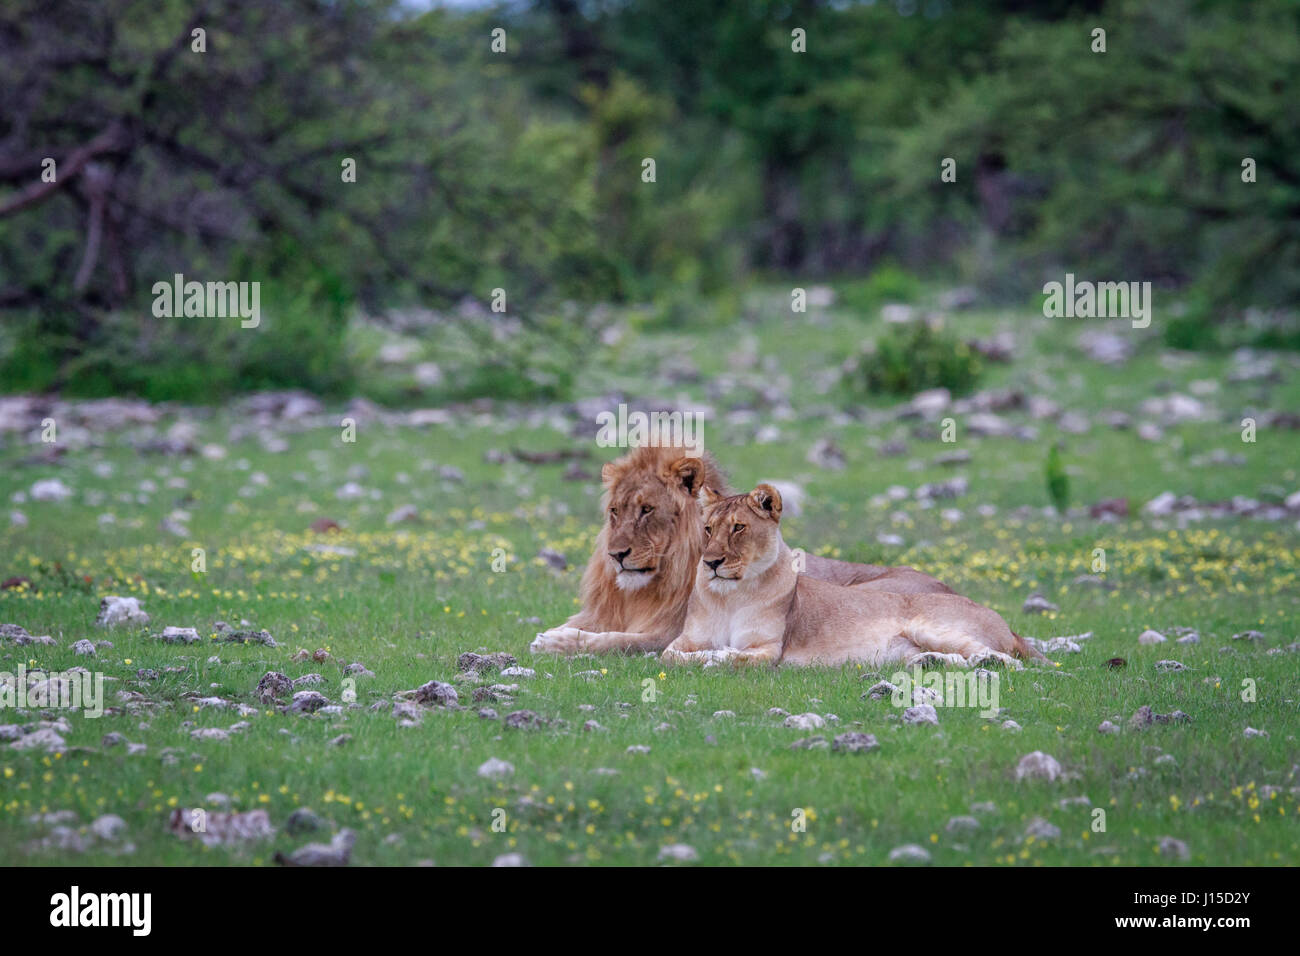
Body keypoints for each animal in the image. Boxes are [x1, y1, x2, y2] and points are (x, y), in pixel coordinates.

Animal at [529, 445, 955, 656]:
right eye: (615, 511)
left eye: (647, 509)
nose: (616, 555)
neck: (647, 589)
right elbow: (586, 624)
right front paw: (552, 634)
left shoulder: (669, 632)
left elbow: (616, 639)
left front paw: (555, 642)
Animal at [661, 483, 1045, 668]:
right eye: (708, 529)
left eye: (738, 527)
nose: (711, 563)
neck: (730, 595)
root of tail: (1007, 625)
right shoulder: (683, 640)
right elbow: (670, 656)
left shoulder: (769, 650)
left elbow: (729, 654)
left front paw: (714, 657)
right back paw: (928, 661)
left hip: (929, 626)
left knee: (1006, 661)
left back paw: (984, 660)